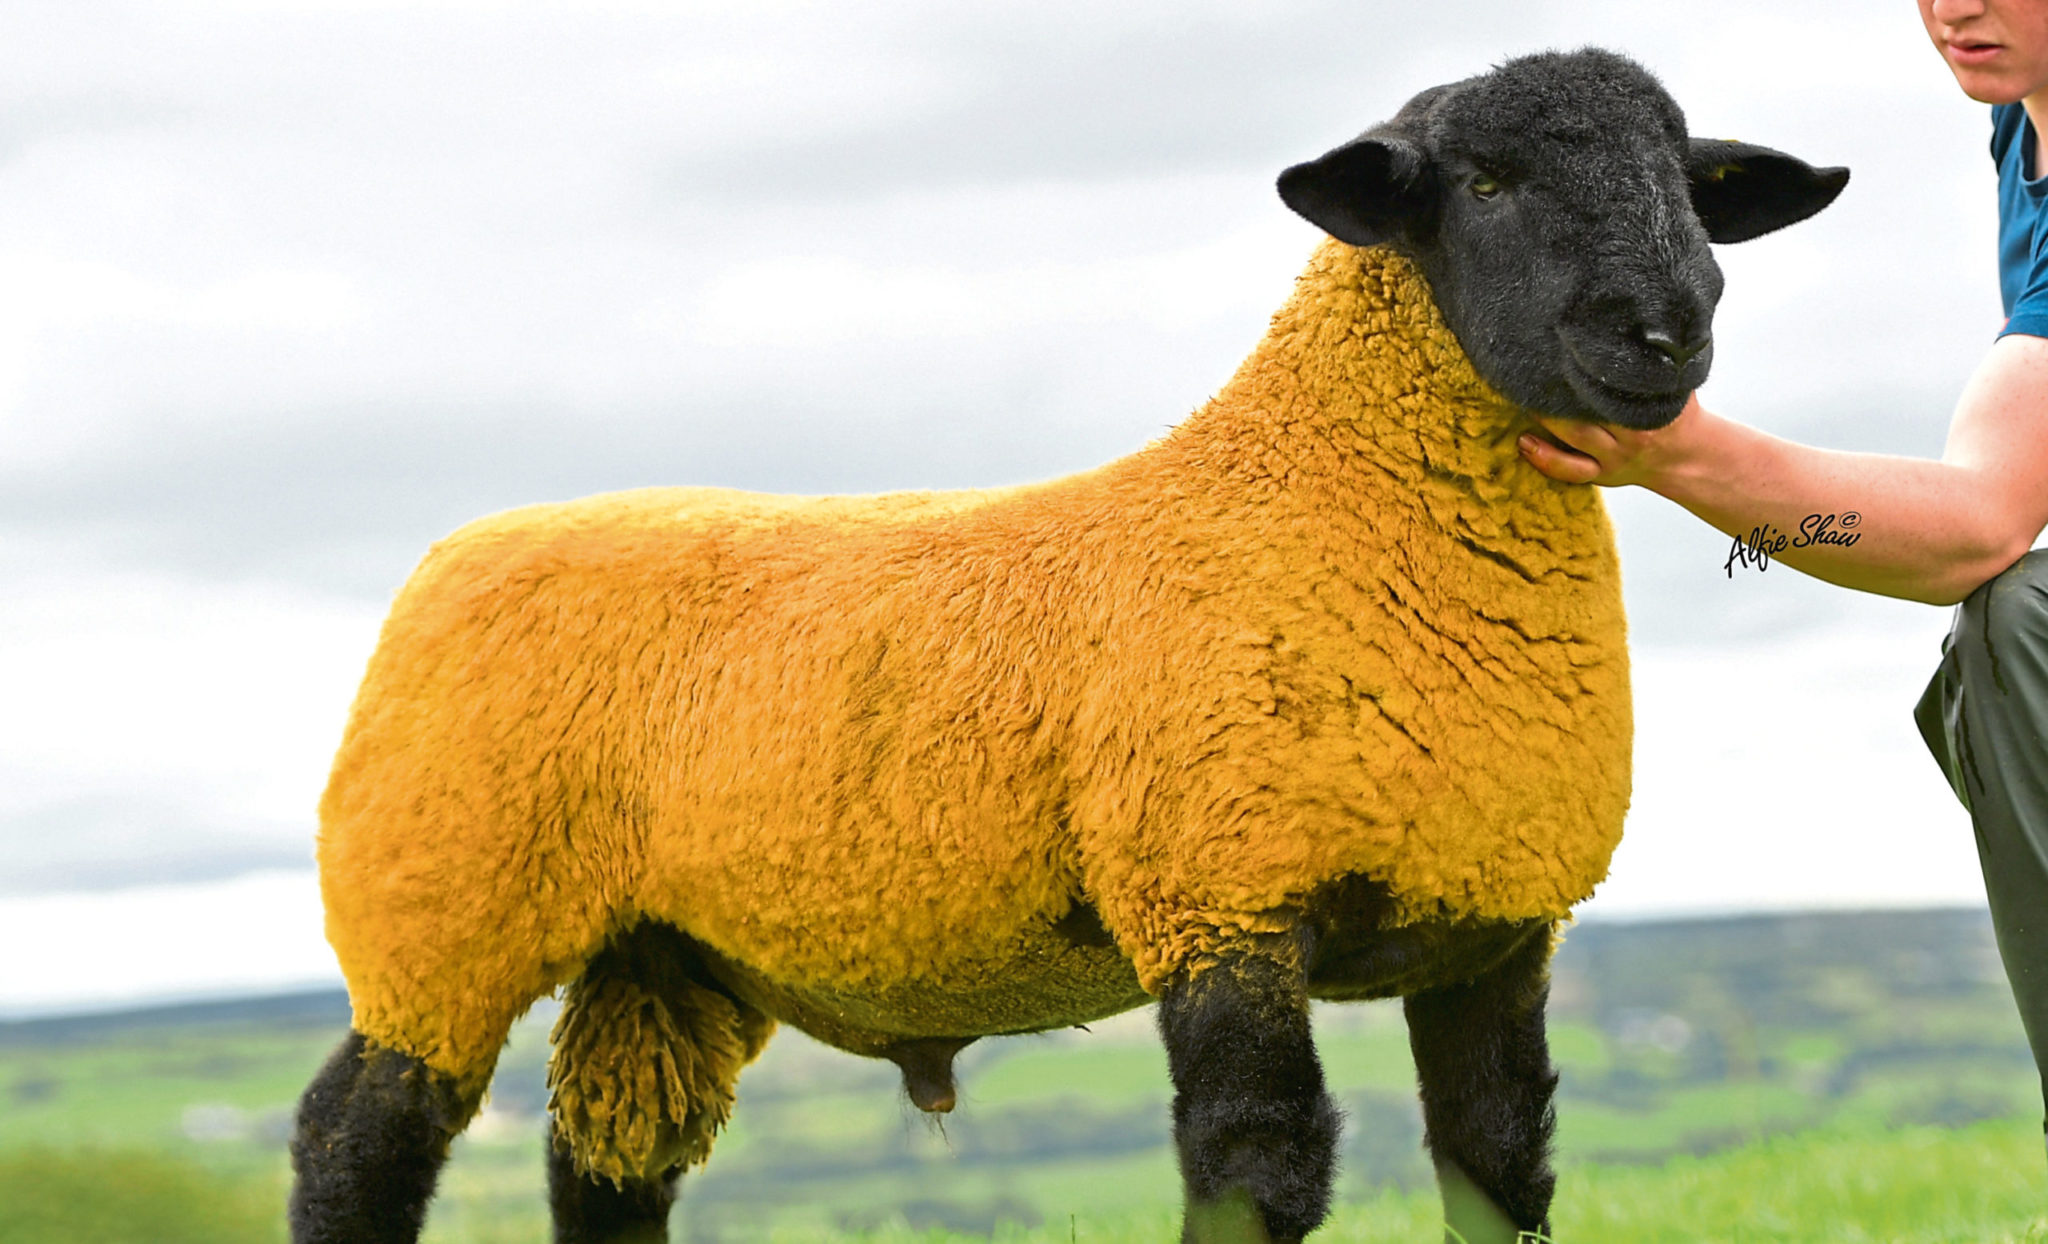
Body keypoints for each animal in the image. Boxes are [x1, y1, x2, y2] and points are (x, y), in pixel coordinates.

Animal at [288, 48, 1846, 1244]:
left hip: (657, 952)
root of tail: (458, 548)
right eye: (1484, 182)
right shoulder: (1217, 892)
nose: (1663, 333)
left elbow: (1498, 1163)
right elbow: (1256, 1165)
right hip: (441, 905)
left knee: (612, 1166)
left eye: (1687, 181)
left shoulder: (1491, 923)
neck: (1316, 497)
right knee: (351, 1141)